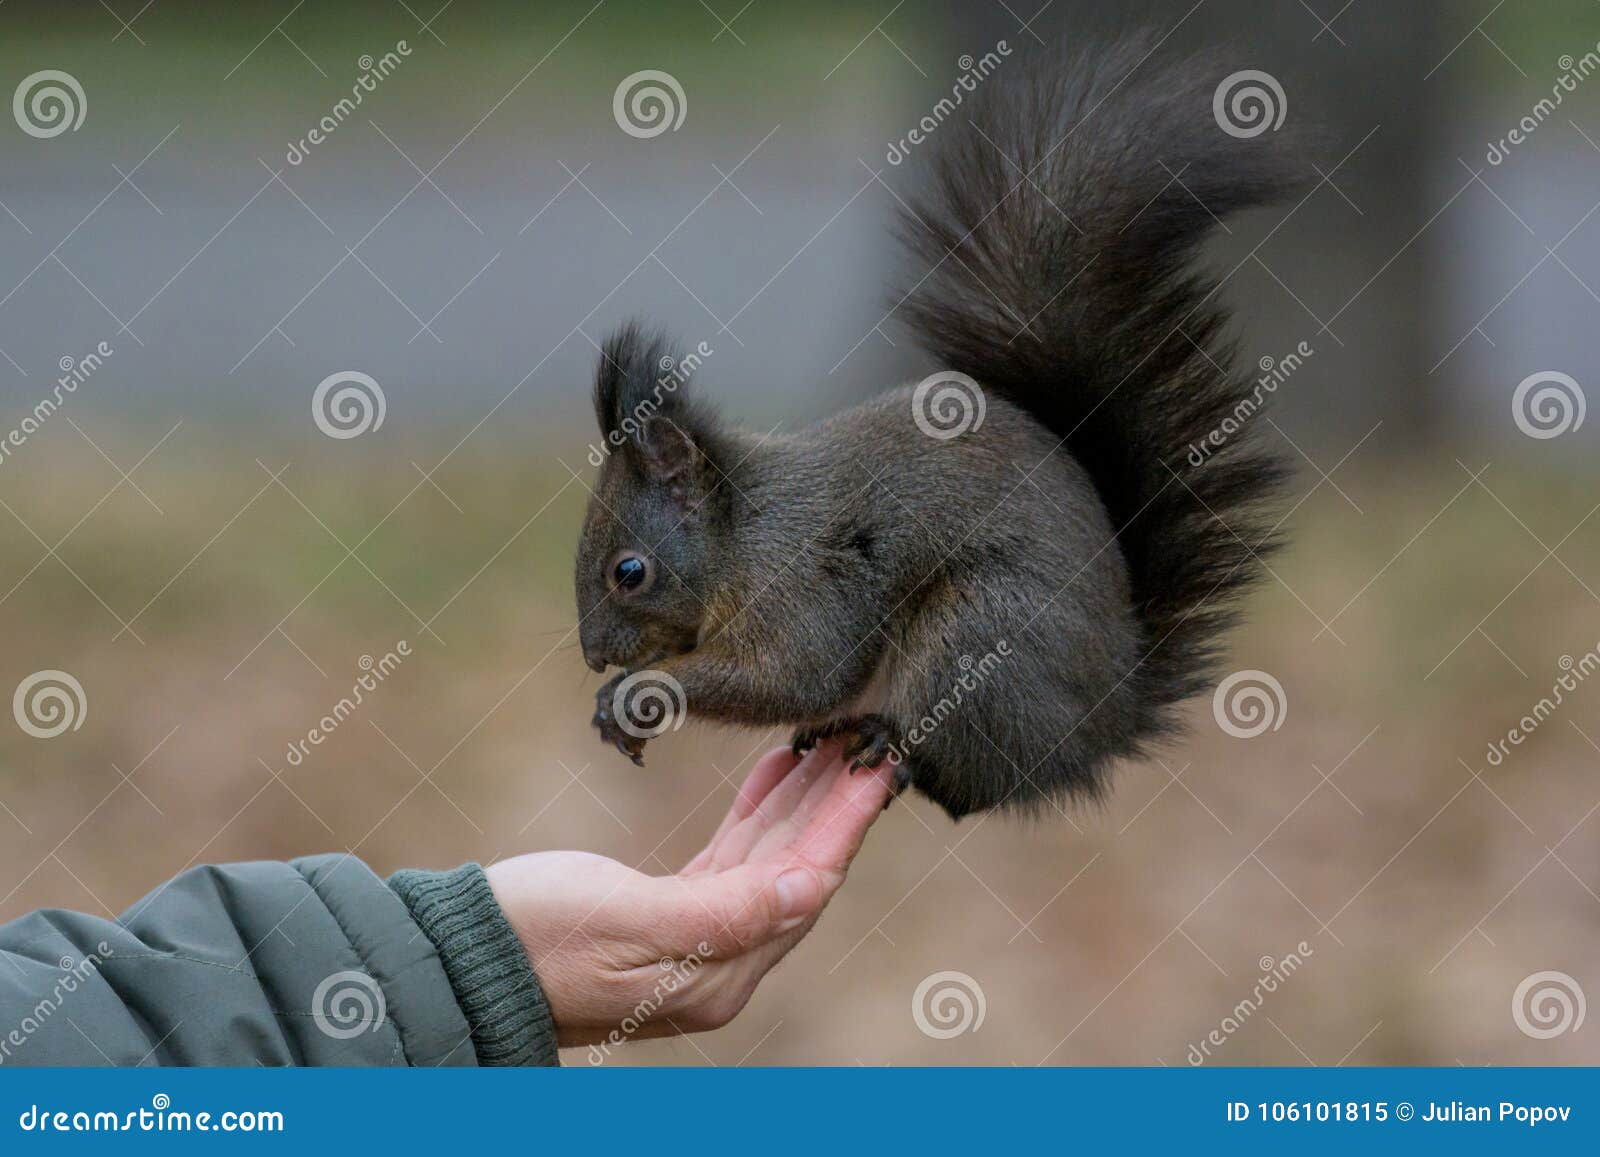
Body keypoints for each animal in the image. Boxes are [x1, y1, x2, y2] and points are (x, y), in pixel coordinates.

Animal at [574, 39, 1298, 820]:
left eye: (629, 572)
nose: (593, 655)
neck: (740, 529)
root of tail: (1105, 722)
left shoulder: (799, 579)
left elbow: (793, 675)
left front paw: (638, 693)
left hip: (978, 636)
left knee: (962, 777)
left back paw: (888, 737)